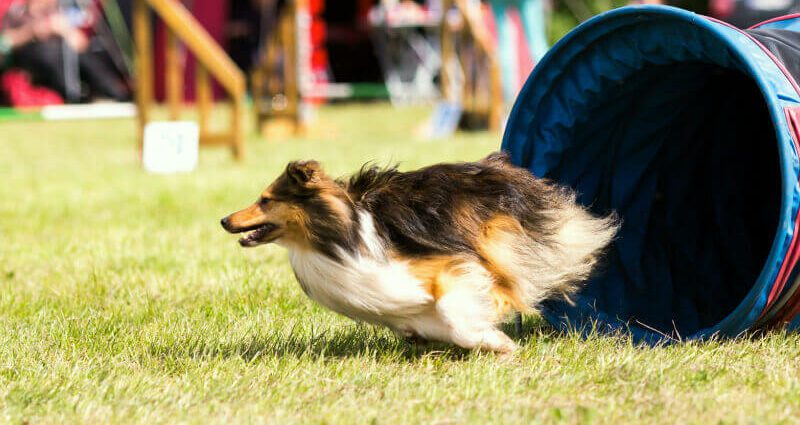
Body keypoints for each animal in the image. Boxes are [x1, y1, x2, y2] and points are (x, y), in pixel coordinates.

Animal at [220, 152, 620, 354]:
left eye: (265, 200)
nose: (224, 219)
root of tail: (499, 165)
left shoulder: (446, 267)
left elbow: (457, 312)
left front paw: (497, 341)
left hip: (496, 237)